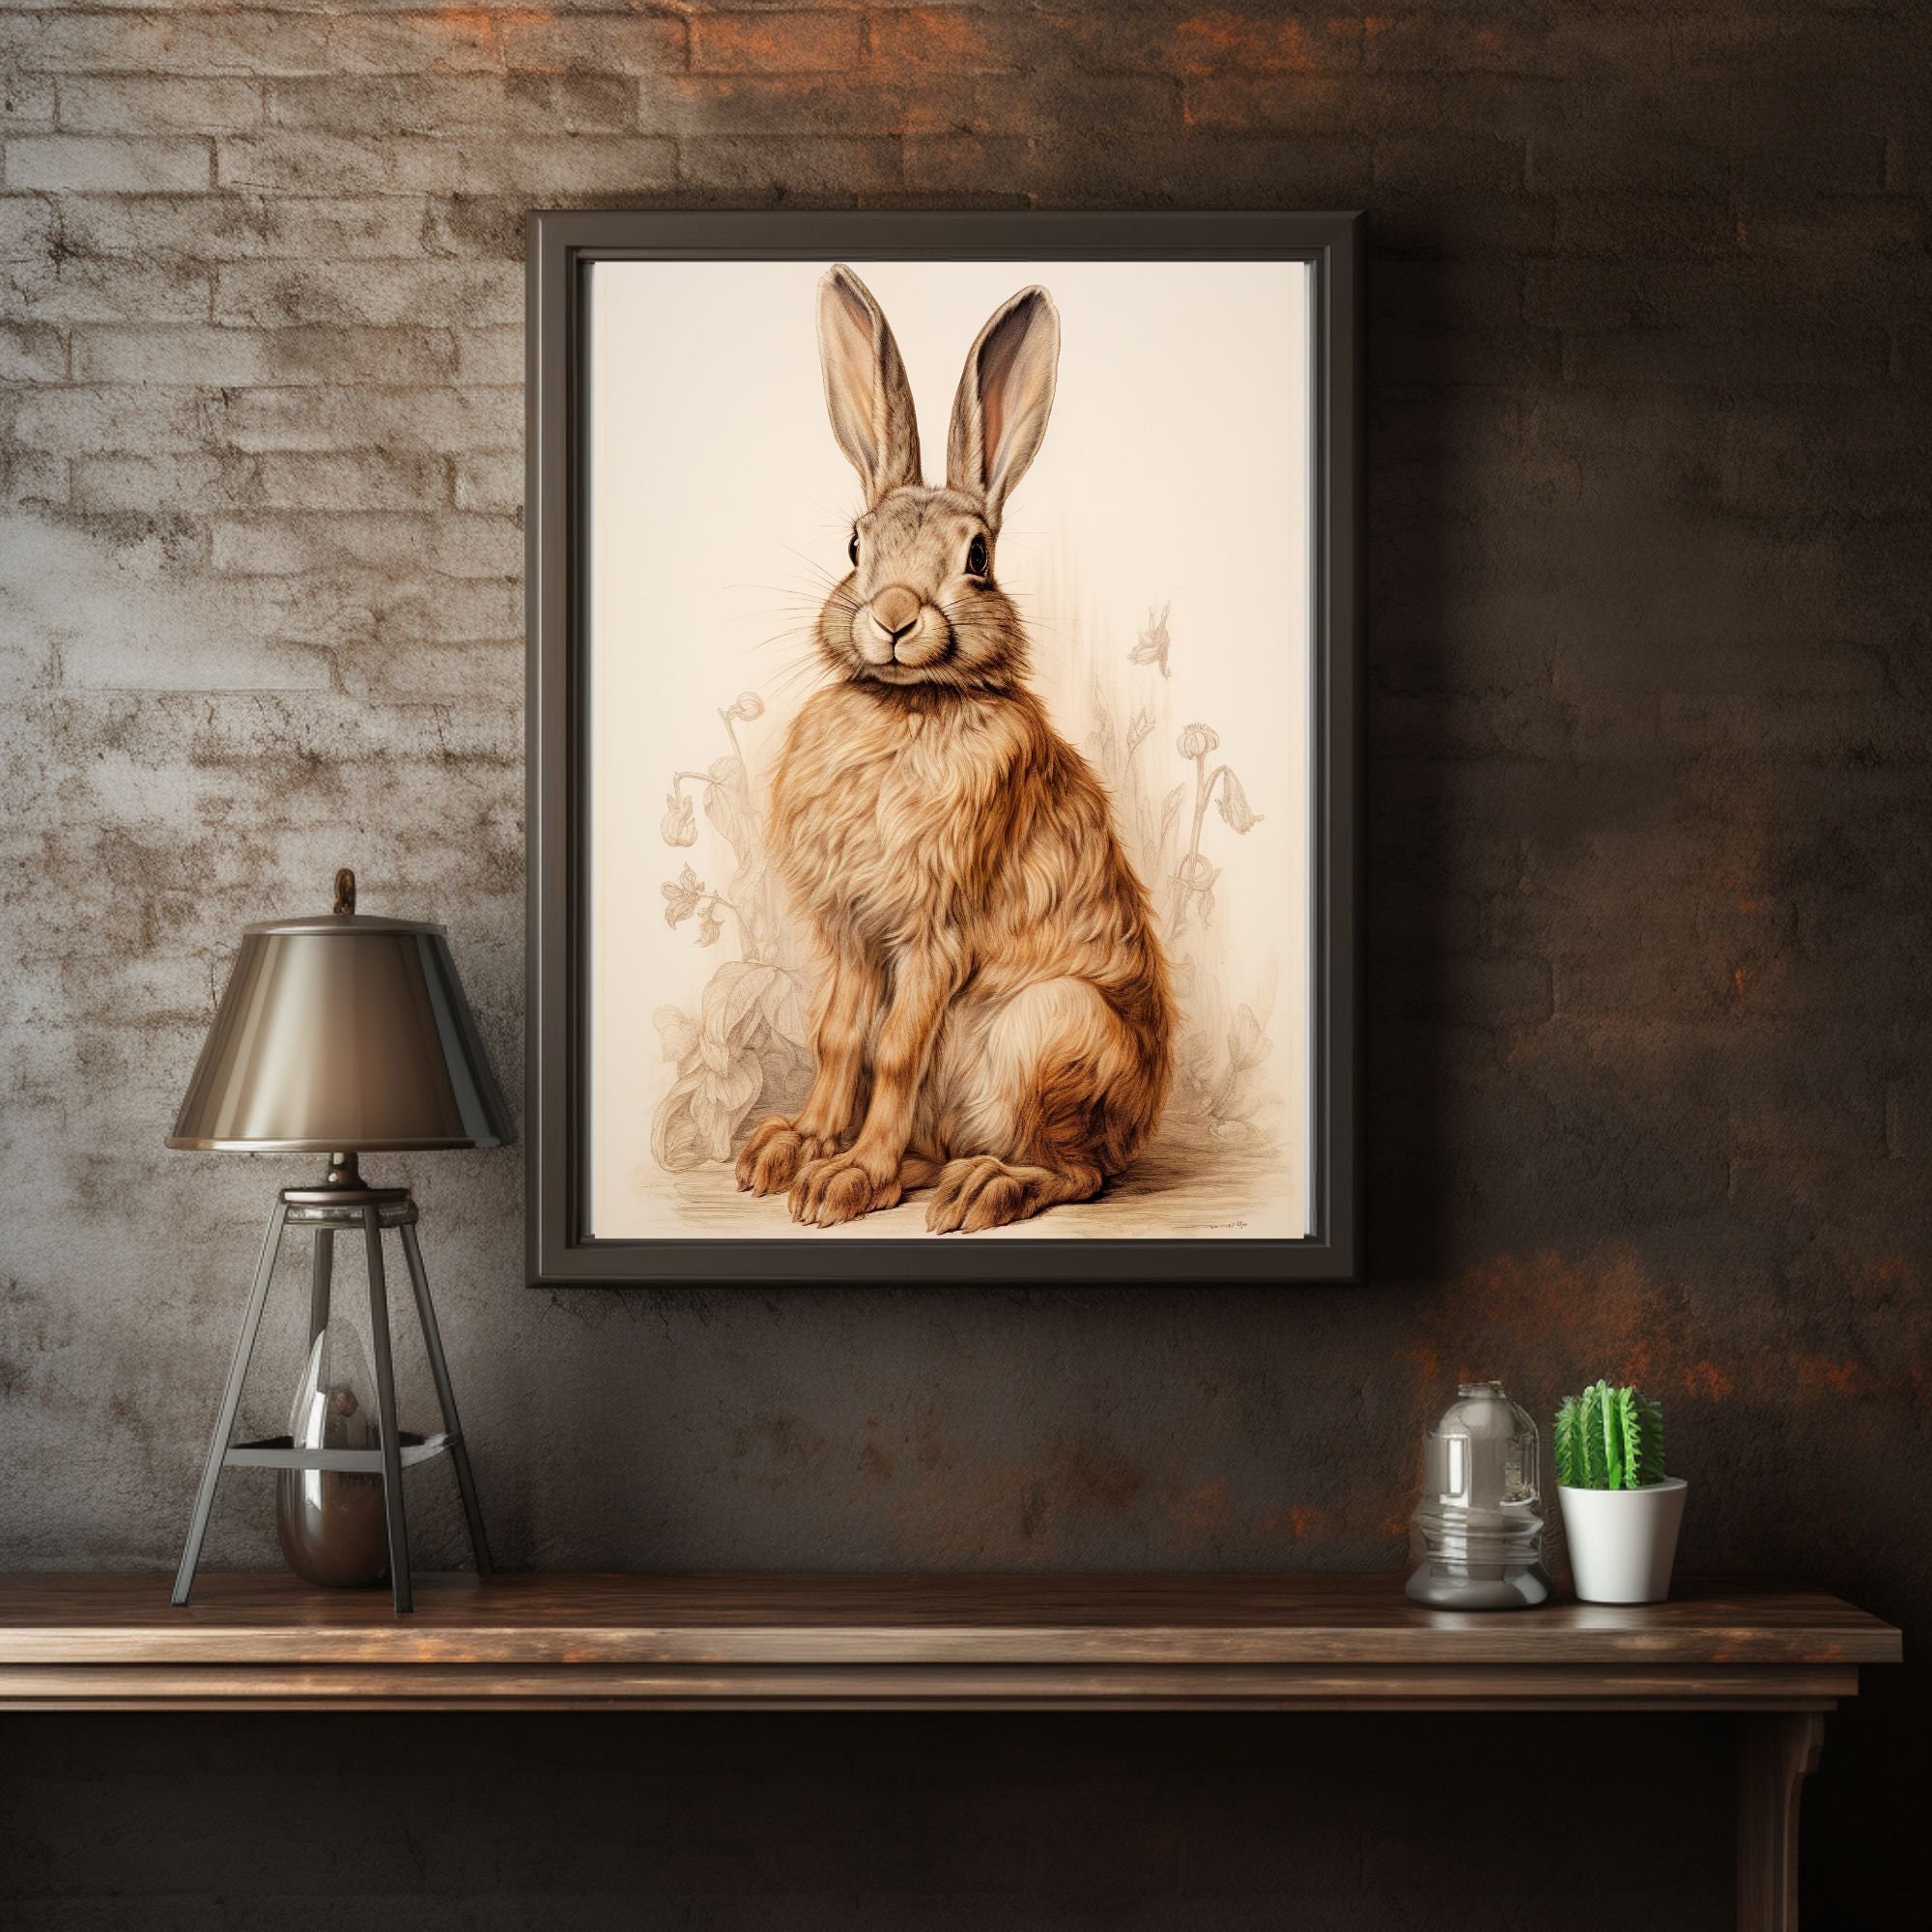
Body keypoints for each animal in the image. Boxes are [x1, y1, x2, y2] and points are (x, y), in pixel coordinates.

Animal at [734, 264, 1173, 1233]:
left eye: (977, 558)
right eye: (854, 544)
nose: (895, 616)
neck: (908, 706)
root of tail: (1138, 1125)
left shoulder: (933, 933)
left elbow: (896, 1049)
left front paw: (845, 1181)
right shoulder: (850, 935)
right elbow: (838, 1035)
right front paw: (797, 1149)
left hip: (1053, 1029)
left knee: (1077, 1173)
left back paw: (980, 1187)